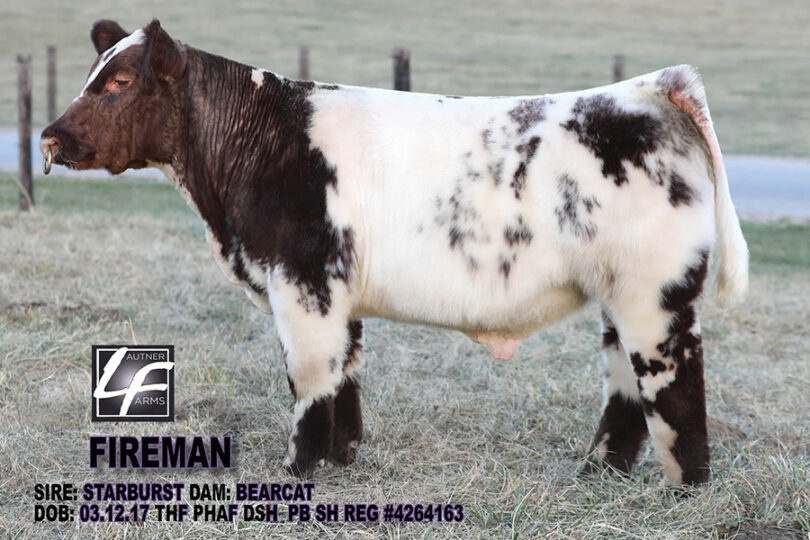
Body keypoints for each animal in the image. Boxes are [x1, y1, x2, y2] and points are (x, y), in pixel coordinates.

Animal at [41, 19, 748, 485]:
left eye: (119, 81)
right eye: (94, 74)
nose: (49, 137)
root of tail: (645, 90)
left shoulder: (302, 282)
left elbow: (308, 377)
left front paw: (296, 471)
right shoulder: (337, 291)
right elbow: (344, 373)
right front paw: (343, 458)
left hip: (654, 295)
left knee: (675, 379)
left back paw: (683, 488)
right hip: (620, 296)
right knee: (625, 385)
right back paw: (598, 471)